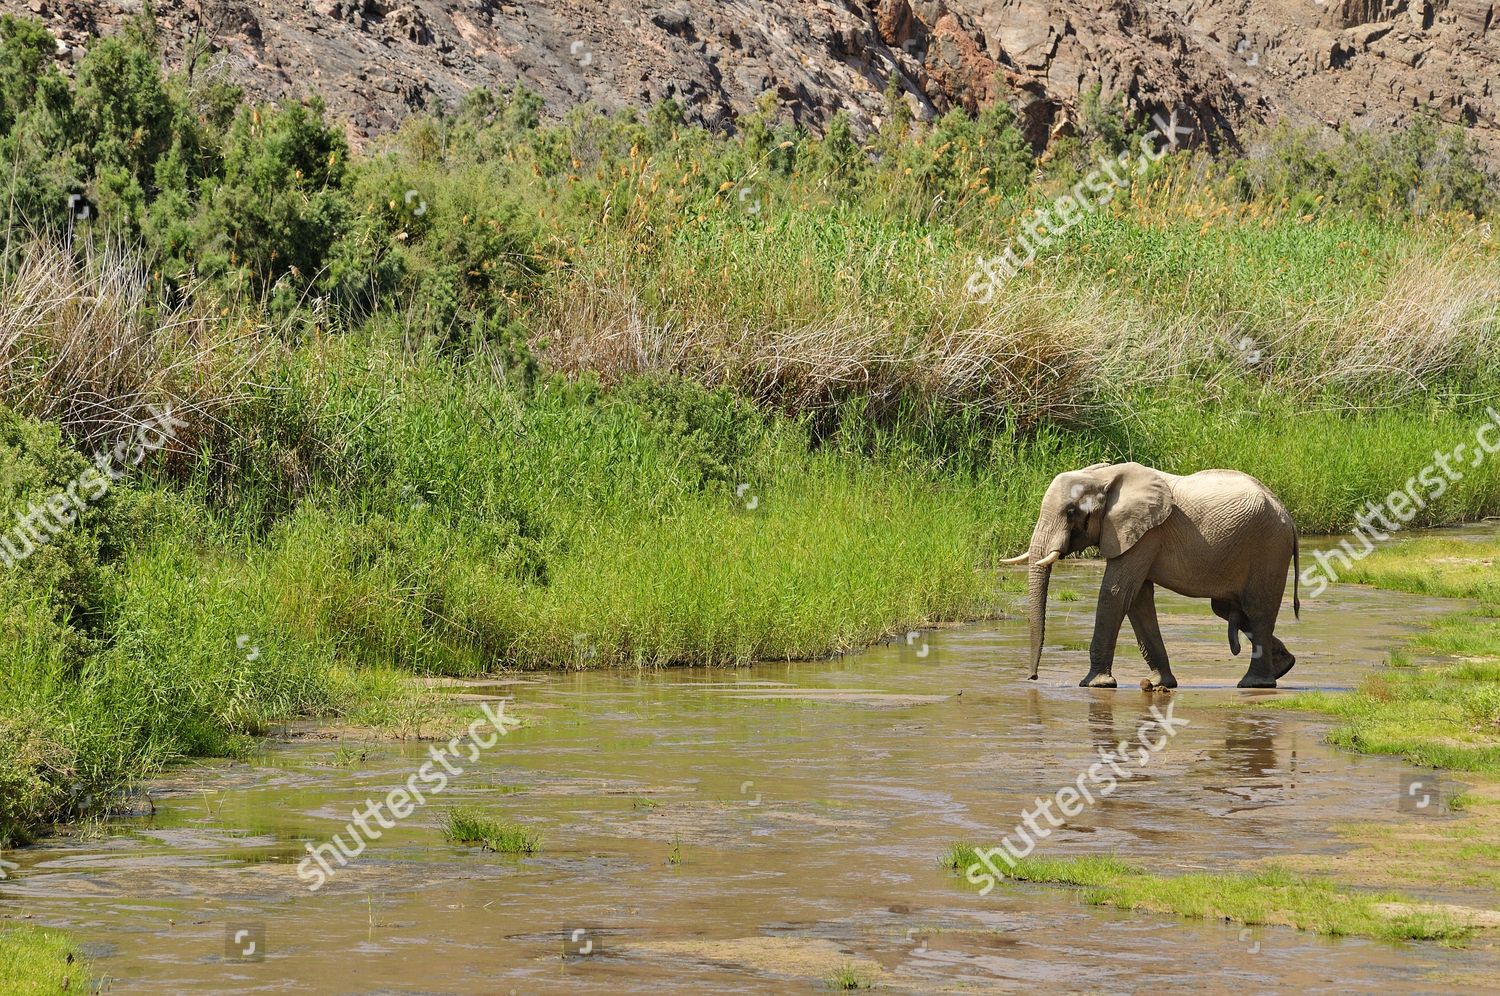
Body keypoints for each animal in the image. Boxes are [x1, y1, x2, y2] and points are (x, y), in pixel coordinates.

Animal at [1001, 462, 1301, 689]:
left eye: (1071, 512)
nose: (1033, 677)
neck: (1103, 477)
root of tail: (1287, 513)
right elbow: (1137, 599)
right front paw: (1160, 684)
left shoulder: (1145, 533)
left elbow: (1116, 593)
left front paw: (1094, 684)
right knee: (1228, 610)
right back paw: (1283, 666)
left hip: (1269, 547)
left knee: (1257, 609)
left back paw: (1255, 684)